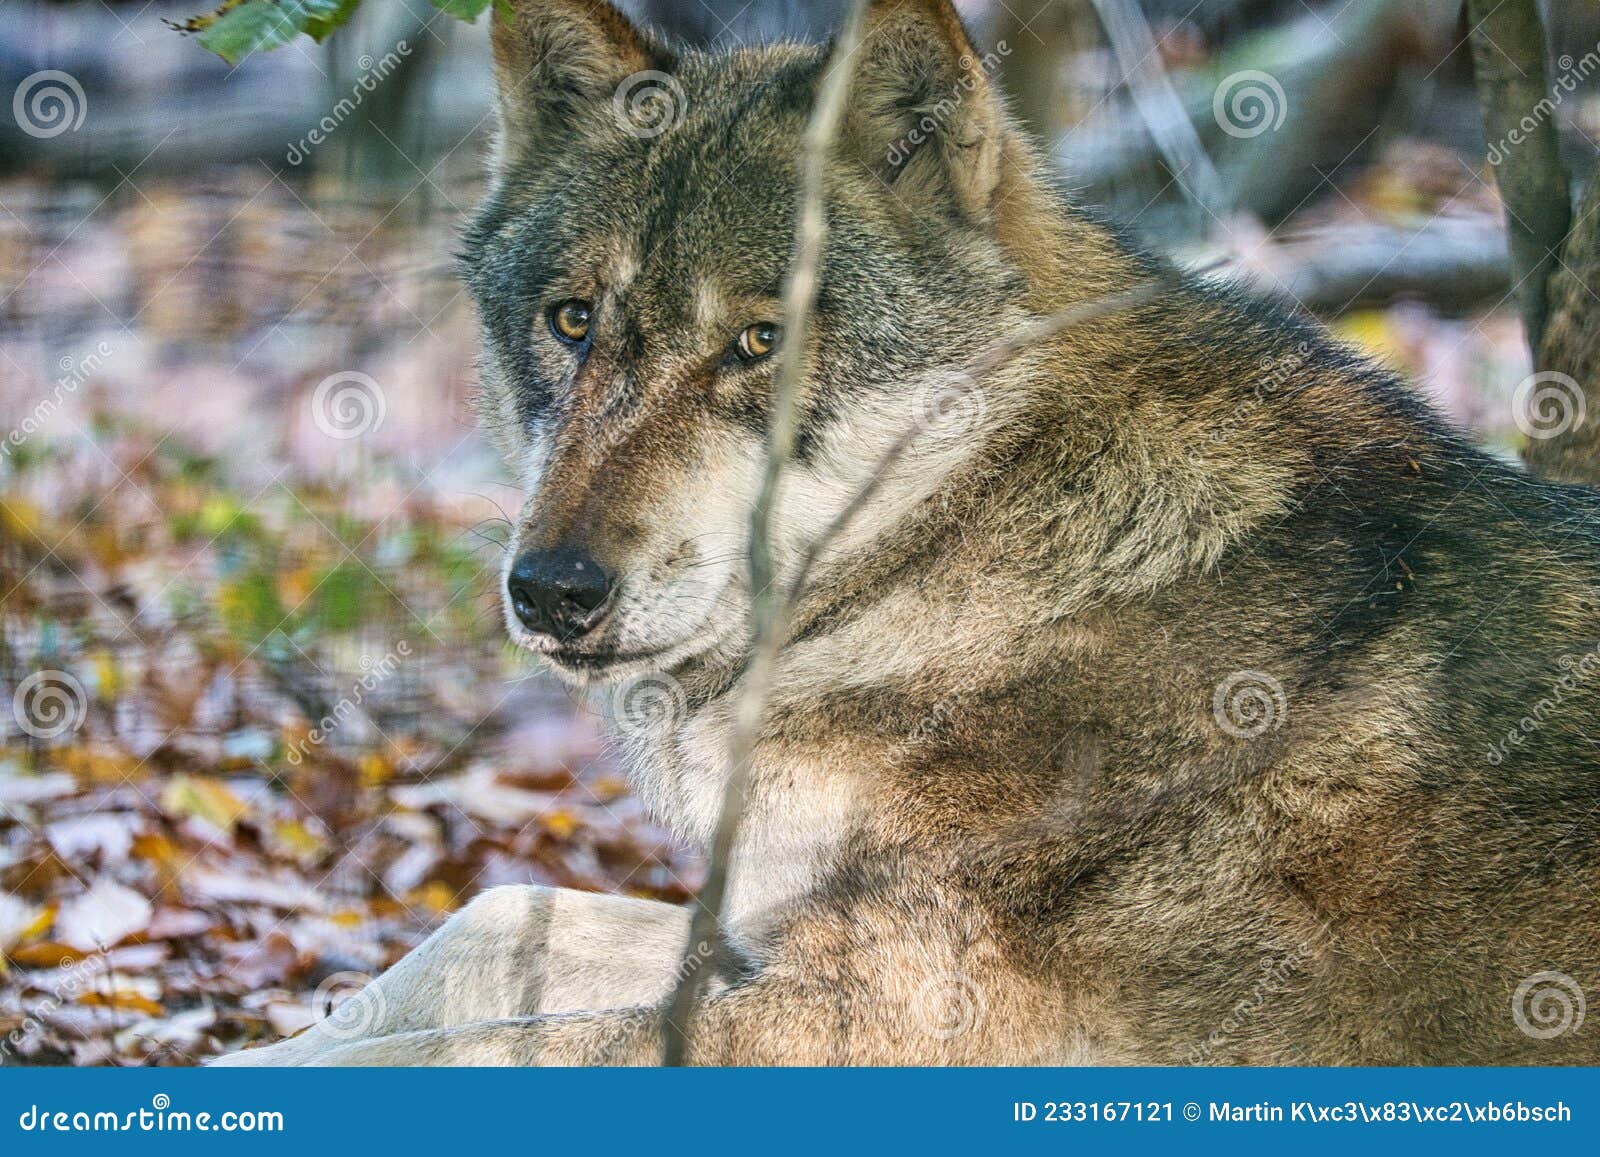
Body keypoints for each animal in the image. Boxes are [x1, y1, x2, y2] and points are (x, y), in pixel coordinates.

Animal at [217, 0, 1599, 1065]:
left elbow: (462, 1049)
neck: (968, 545)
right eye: (572, 320)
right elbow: (481, 926)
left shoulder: (897, 1008)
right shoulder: (759, 927)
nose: (551, 588)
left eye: (761, 341)